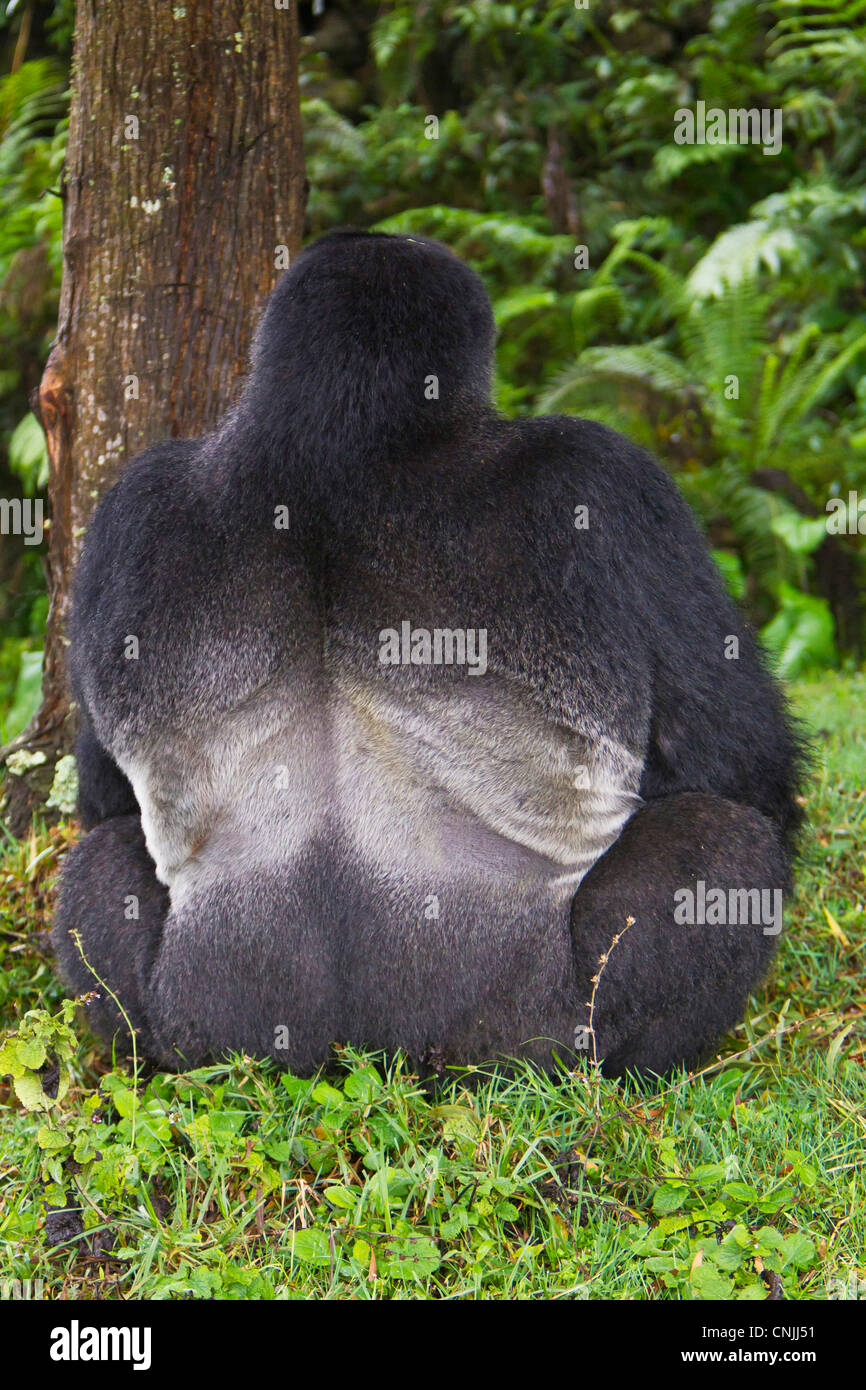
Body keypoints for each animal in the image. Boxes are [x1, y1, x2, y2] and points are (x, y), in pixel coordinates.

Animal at [52, 229, 804, 1078]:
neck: (345, 428)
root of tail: (362, 1054)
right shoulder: (605, 478)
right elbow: (741, 762)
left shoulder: (132, 501)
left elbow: (104, 789)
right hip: (526, 1035)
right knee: (727, 842)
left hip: (205, 1026)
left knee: (99, 857)